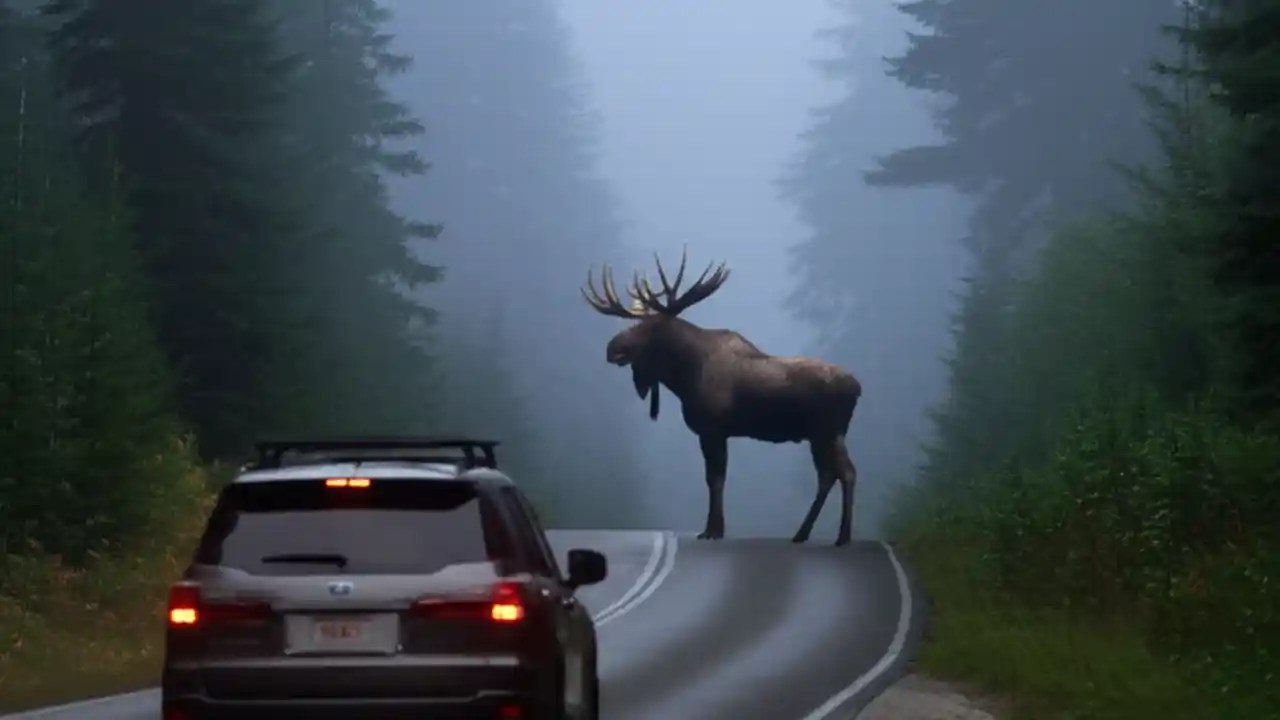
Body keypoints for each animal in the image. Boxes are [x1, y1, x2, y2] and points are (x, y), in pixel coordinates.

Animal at [581, 248, 863, 546]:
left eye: (649, 327)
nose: (611, 348)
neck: (684, 376)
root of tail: (857, 387)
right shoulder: (719, 432)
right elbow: (715, 478)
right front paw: (713, 528)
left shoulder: (712, 429)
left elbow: (714, 479)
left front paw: (713, 530)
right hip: (818, 435)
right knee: (827, 475)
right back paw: (802, 533)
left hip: (828, 430)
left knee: (846, 472)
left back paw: (843, 536)